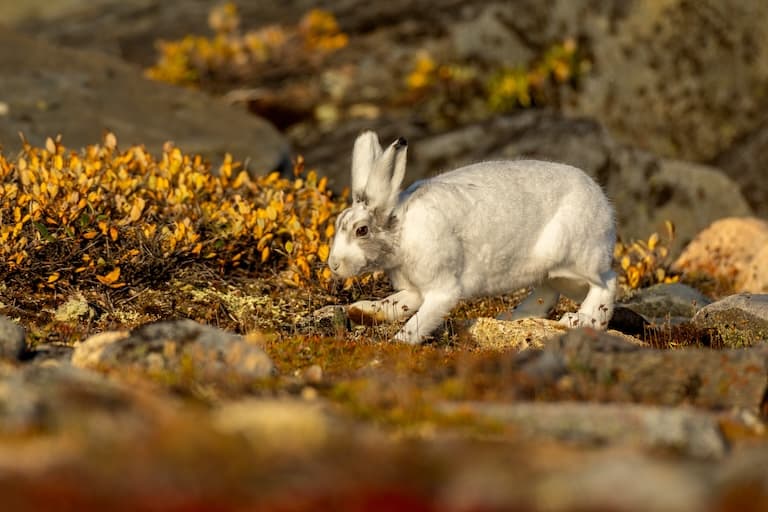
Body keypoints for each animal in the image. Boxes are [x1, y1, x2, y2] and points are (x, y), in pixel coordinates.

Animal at [327, 131, 617, 345]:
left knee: (607, 283)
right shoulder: (415, 288)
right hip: (552, 271)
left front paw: (398, 342)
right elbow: (398, 304)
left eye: (361, 230)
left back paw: (580, 320)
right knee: (549, 290)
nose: (334, 265)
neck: (401, 231)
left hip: (575, 260)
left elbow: (422, 318)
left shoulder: (443, 287)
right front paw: (361, 310)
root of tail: (603, 204)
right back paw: (513, 316)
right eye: (339, 222)